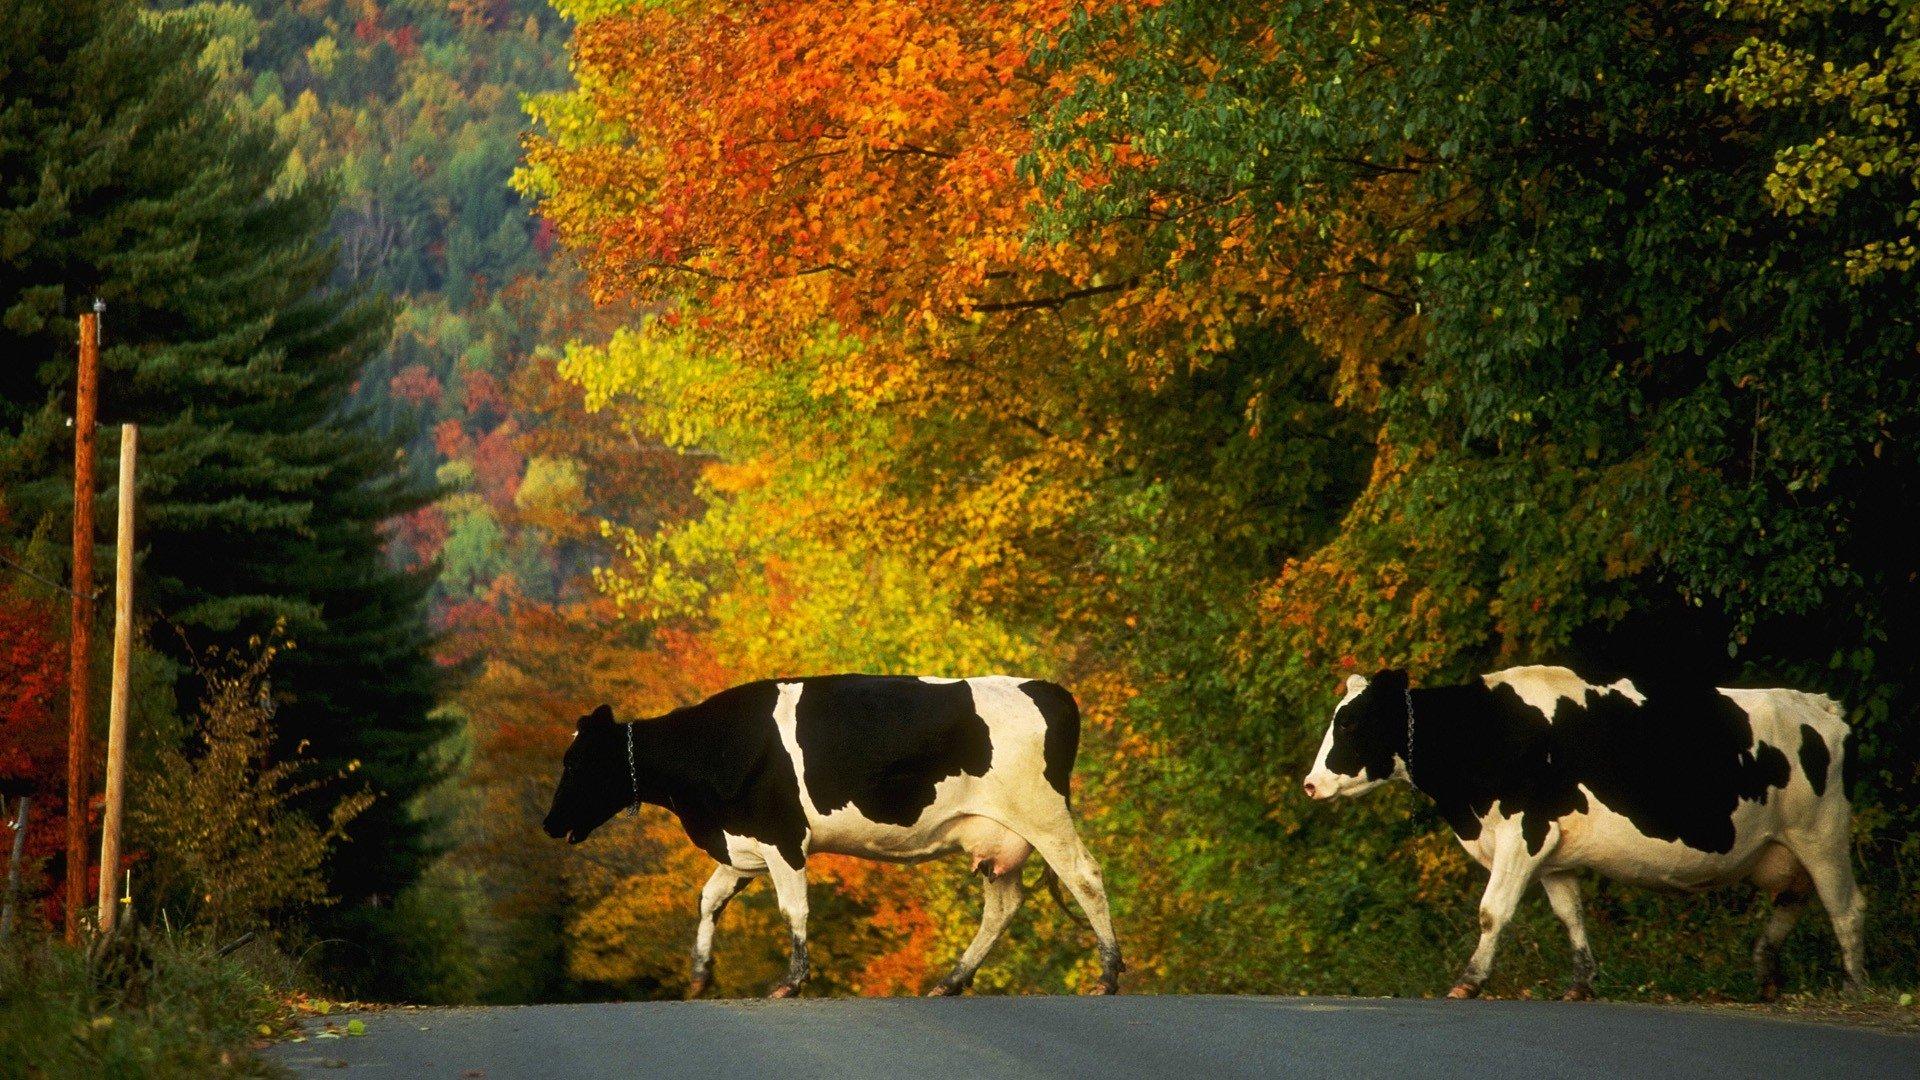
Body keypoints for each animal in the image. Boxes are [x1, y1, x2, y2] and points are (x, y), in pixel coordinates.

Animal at [541, 674, 1123, 998]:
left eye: (575, 762)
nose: (548, 823)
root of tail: (1049, 689)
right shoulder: (741, 843)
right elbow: (708, 900)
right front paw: (701, 972)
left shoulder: (782, 838)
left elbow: (793, 909)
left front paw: (791, 981)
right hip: (996, 838)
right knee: (1003, 905)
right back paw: (952, 981)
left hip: (1041, 812)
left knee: (1085, 876)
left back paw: (1109, 975)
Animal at [1301, 665, 1866, 1001]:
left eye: (1350, 724)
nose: (1310, 784)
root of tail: (1817, 705)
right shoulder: (1554, 852)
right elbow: (1570, 916)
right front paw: (1581, 983)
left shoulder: (1522, 833)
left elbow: (1491, 912)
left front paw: (1468, 981)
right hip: (1784, 848)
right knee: (1793, 901)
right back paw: (1766, 973)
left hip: (1822, 835)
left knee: (1846, 907)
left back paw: (1855, 985)